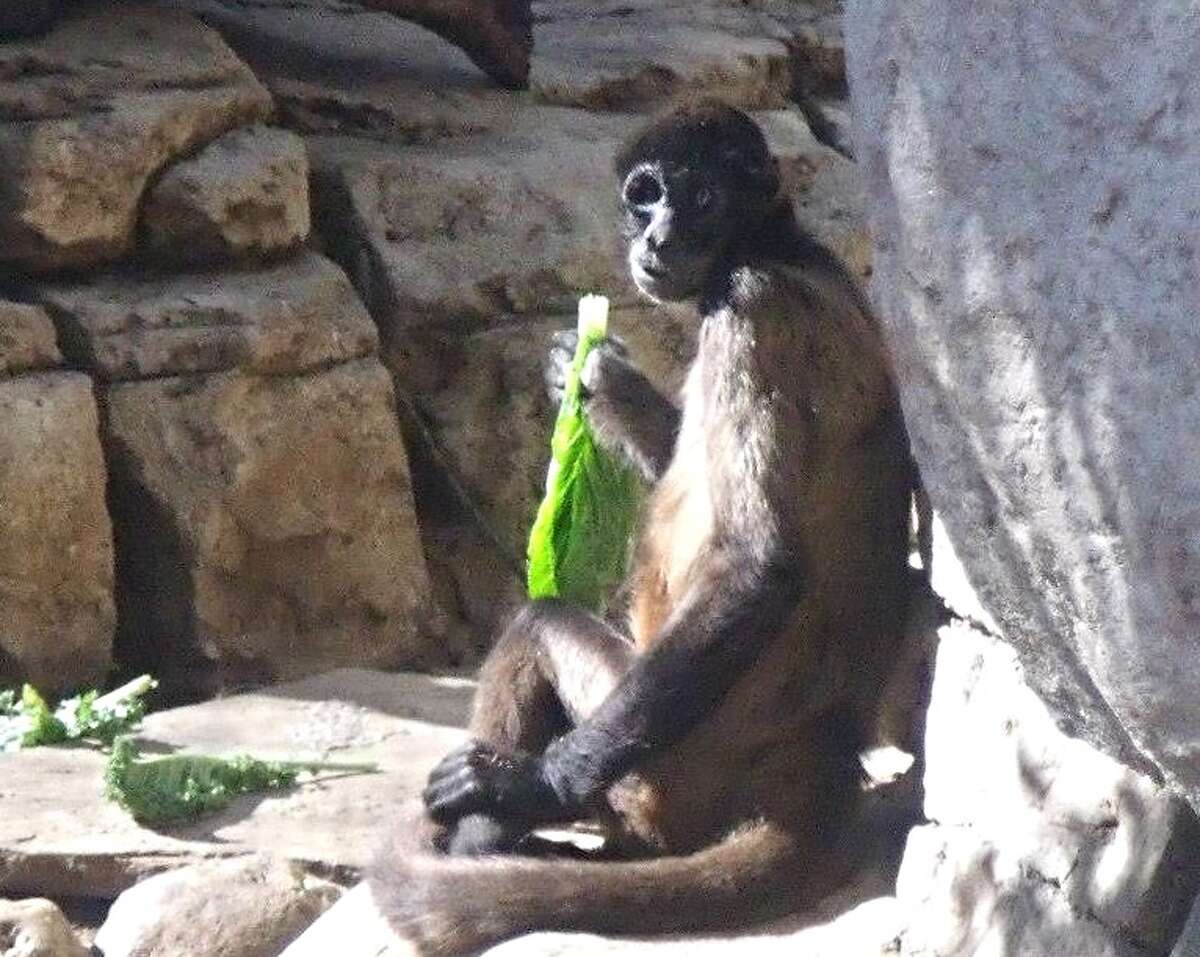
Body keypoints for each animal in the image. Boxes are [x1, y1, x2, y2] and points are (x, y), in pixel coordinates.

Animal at [369, 100, 917, 956]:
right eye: (644, 195)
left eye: (700, 199)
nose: (656, 240)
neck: (780, 245)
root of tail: (822, 754)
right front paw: (595, 376)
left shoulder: (753, 305)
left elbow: (760, 566)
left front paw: (532, 786)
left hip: (660, 779)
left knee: (537, 623)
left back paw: (489, 835)